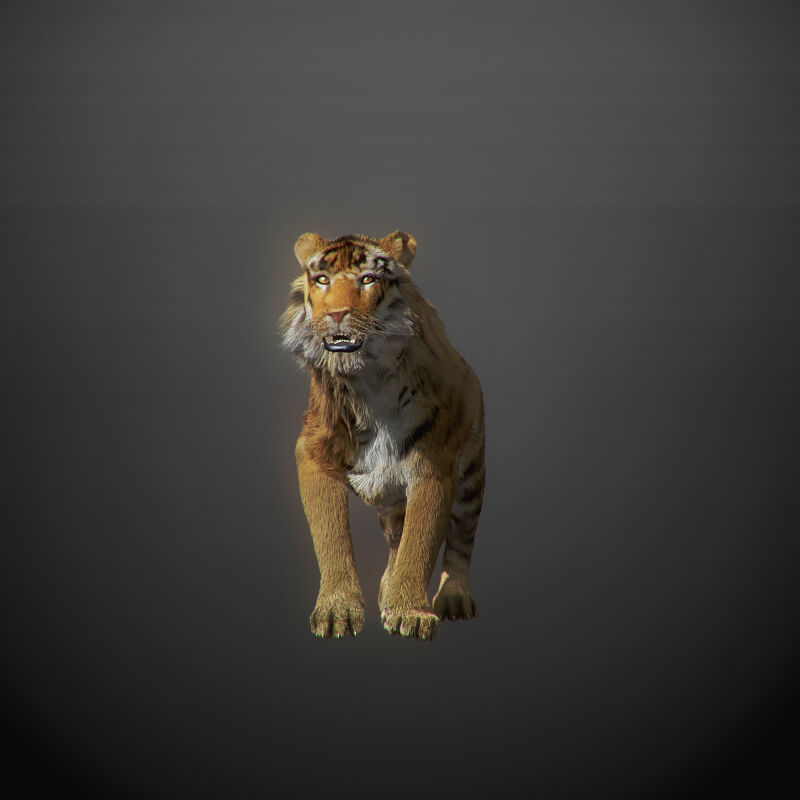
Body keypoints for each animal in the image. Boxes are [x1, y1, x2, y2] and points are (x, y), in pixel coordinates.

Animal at [280, 230, 485, 640]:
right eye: (322, 280)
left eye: (368, 279)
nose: (337, 314)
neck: (366, 379)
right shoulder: (313, 453)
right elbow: (331, 536)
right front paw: (337, 610)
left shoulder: (433, 468)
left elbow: (419, 543)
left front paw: (410, 612)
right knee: (395, 538)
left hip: (471, 476)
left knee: (460, 539)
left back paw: (453, 597)